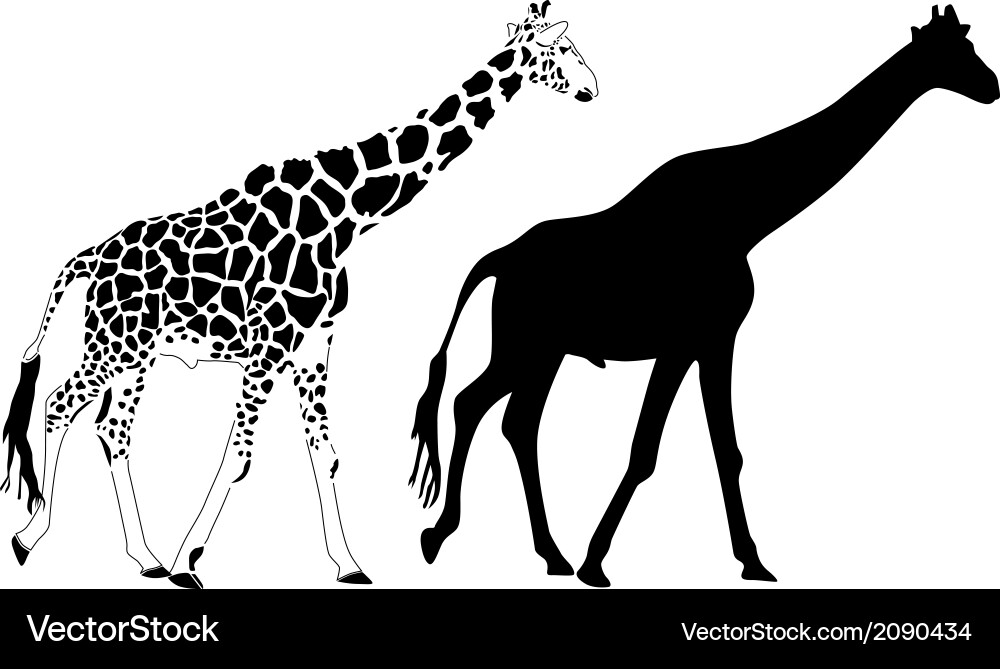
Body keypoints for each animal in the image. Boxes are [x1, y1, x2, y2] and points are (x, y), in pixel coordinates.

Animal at [2, 1, 598, 589]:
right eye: (564, 48)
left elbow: (325, 453)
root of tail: (90, 258)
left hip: (139, 352)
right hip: (114, 344)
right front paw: (189, 561)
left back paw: (144, 557)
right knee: (58, 406)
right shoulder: (268, 347)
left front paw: (350, 564)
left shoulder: (312, 346)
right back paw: (31, 539)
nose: (592, 88)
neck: (347, 214)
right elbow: (238, 455)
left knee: (112, 429)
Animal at [410, 5, 998, 587]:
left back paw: (549, 554)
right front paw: (596, 563)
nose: (992, 87)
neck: (743, 217)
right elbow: (644, 450)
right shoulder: (685, 342)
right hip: (525, 345)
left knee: (514, 421)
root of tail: (499, 258)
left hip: (544, 351)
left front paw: (752, 561)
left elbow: (725, 451)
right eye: (955, 52)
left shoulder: (714, 341)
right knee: (473, 405)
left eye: (970, 44)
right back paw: (441, 536)